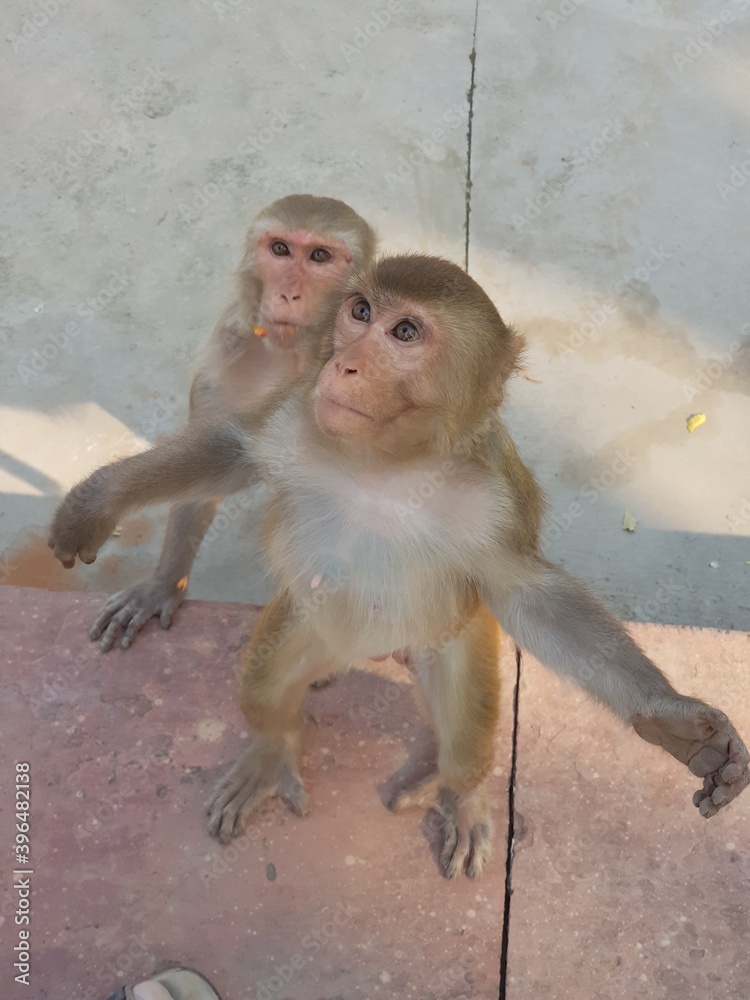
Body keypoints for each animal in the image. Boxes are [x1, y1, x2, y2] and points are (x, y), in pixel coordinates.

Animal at [48, 254, 750, 878]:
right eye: (359, 312)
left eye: (405, 333)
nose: (343, 363)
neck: (386, 466)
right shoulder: (297, 415)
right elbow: (230, 451)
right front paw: (97, 503)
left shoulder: (494, 501)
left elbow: (530, 597)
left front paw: (673, 720)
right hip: (309, 626)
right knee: (268, 681)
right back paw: (271, 753)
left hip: (450, 641)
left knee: (464, 727)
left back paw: (456, 792)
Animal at [88, 194, 377, 652]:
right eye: (280, 249)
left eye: (319, 256)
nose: (288, 293)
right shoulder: (225, 353)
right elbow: (205, 472)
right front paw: (162, 585)